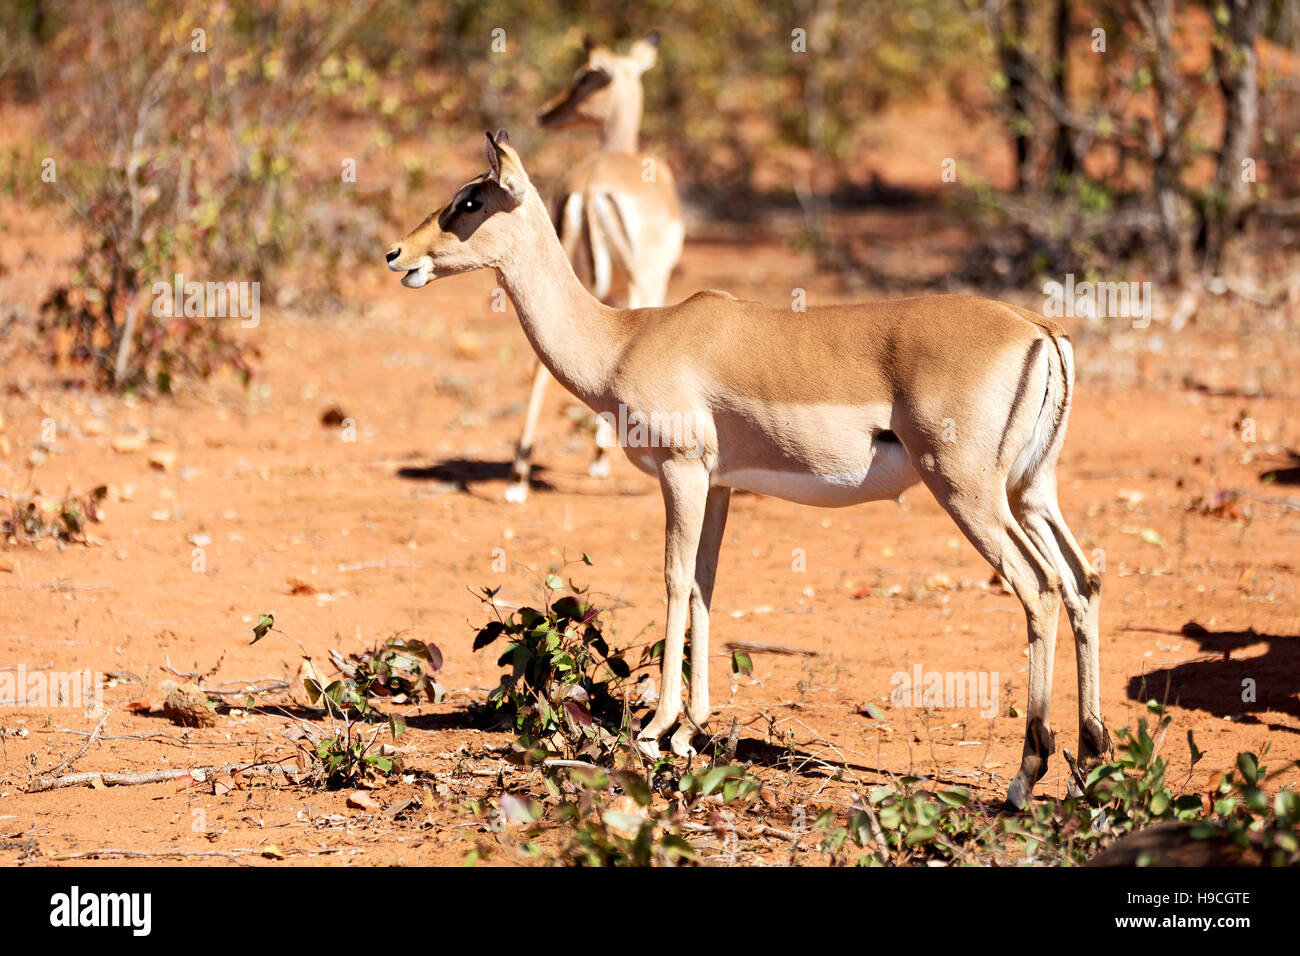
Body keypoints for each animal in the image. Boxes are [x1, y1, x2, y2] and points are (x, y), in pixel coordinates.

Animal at [386, 132, 1110, 809]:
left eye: (471, 201)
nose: (397, 254)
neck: (621, 340)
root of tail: (1039, 331)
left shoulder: (681, 473)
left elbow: (676, 582)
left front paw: (655, 731)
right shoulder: (721, 485)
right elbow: (707, 587)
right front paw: (688, 731)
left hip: (968, 492)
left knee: (1040, 586)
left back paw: (1026, 776)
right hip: (1030, 491)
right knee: (1083, 580)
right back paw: (1091, 761)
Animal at [506, 31, 684, 504]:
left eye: (584, 77)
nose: (547, 112)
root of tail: (588, 189)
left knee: (541, 362)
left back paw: (519, 474)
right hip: (640, 284)